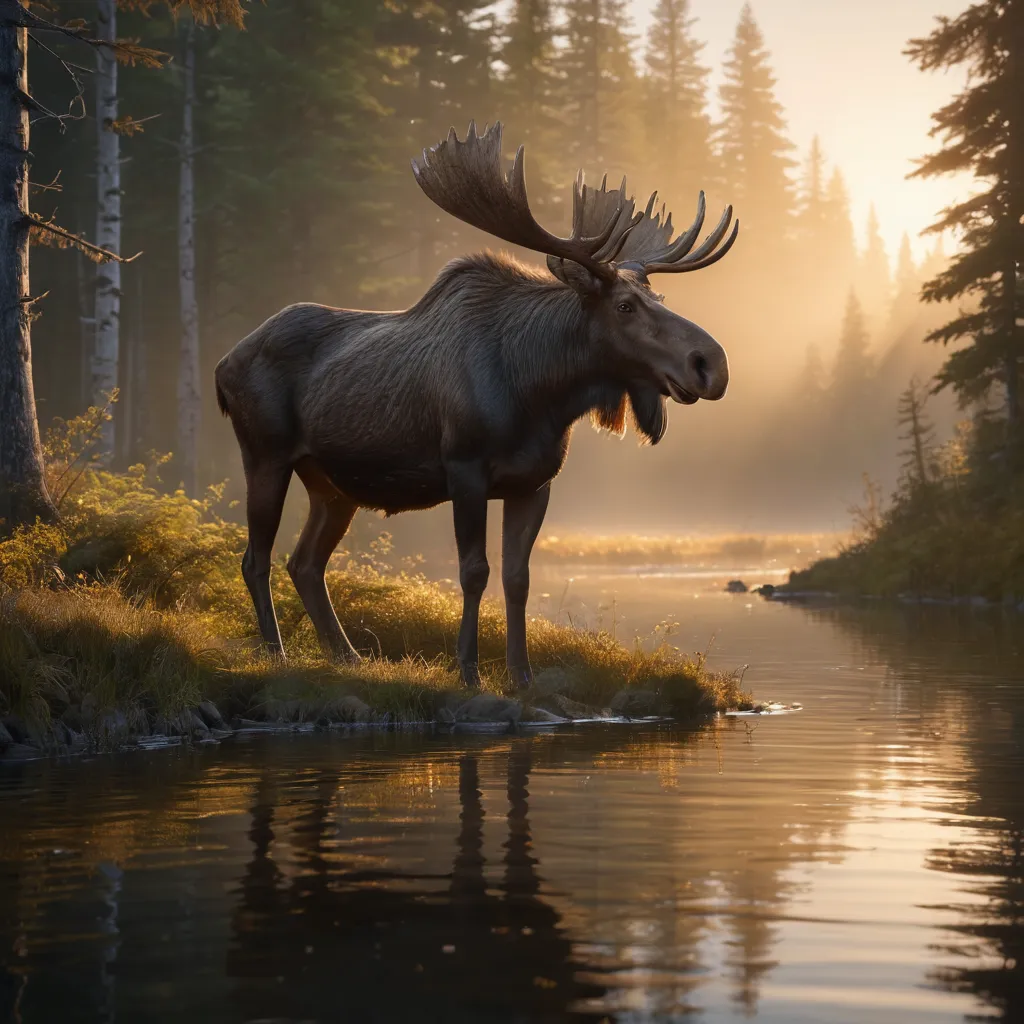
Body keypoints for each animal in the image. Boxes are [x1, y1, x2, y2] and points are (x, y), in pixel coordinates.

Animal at [215, 122, 738, 690]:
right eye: (625, 306)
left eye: (660, 300)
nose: (711, 363)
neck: (540, 394)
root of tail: (221, 366)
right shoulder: (464, 469)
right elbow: (473, 572)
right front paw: (468, 669)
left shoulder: (534, 482)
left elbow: (518, 578)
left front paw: (522, 675)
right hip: (265, 455)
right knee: (256, 558)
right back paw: (276, 652)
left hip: (331, 483)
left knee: (305, 562)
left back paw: (347, 655)